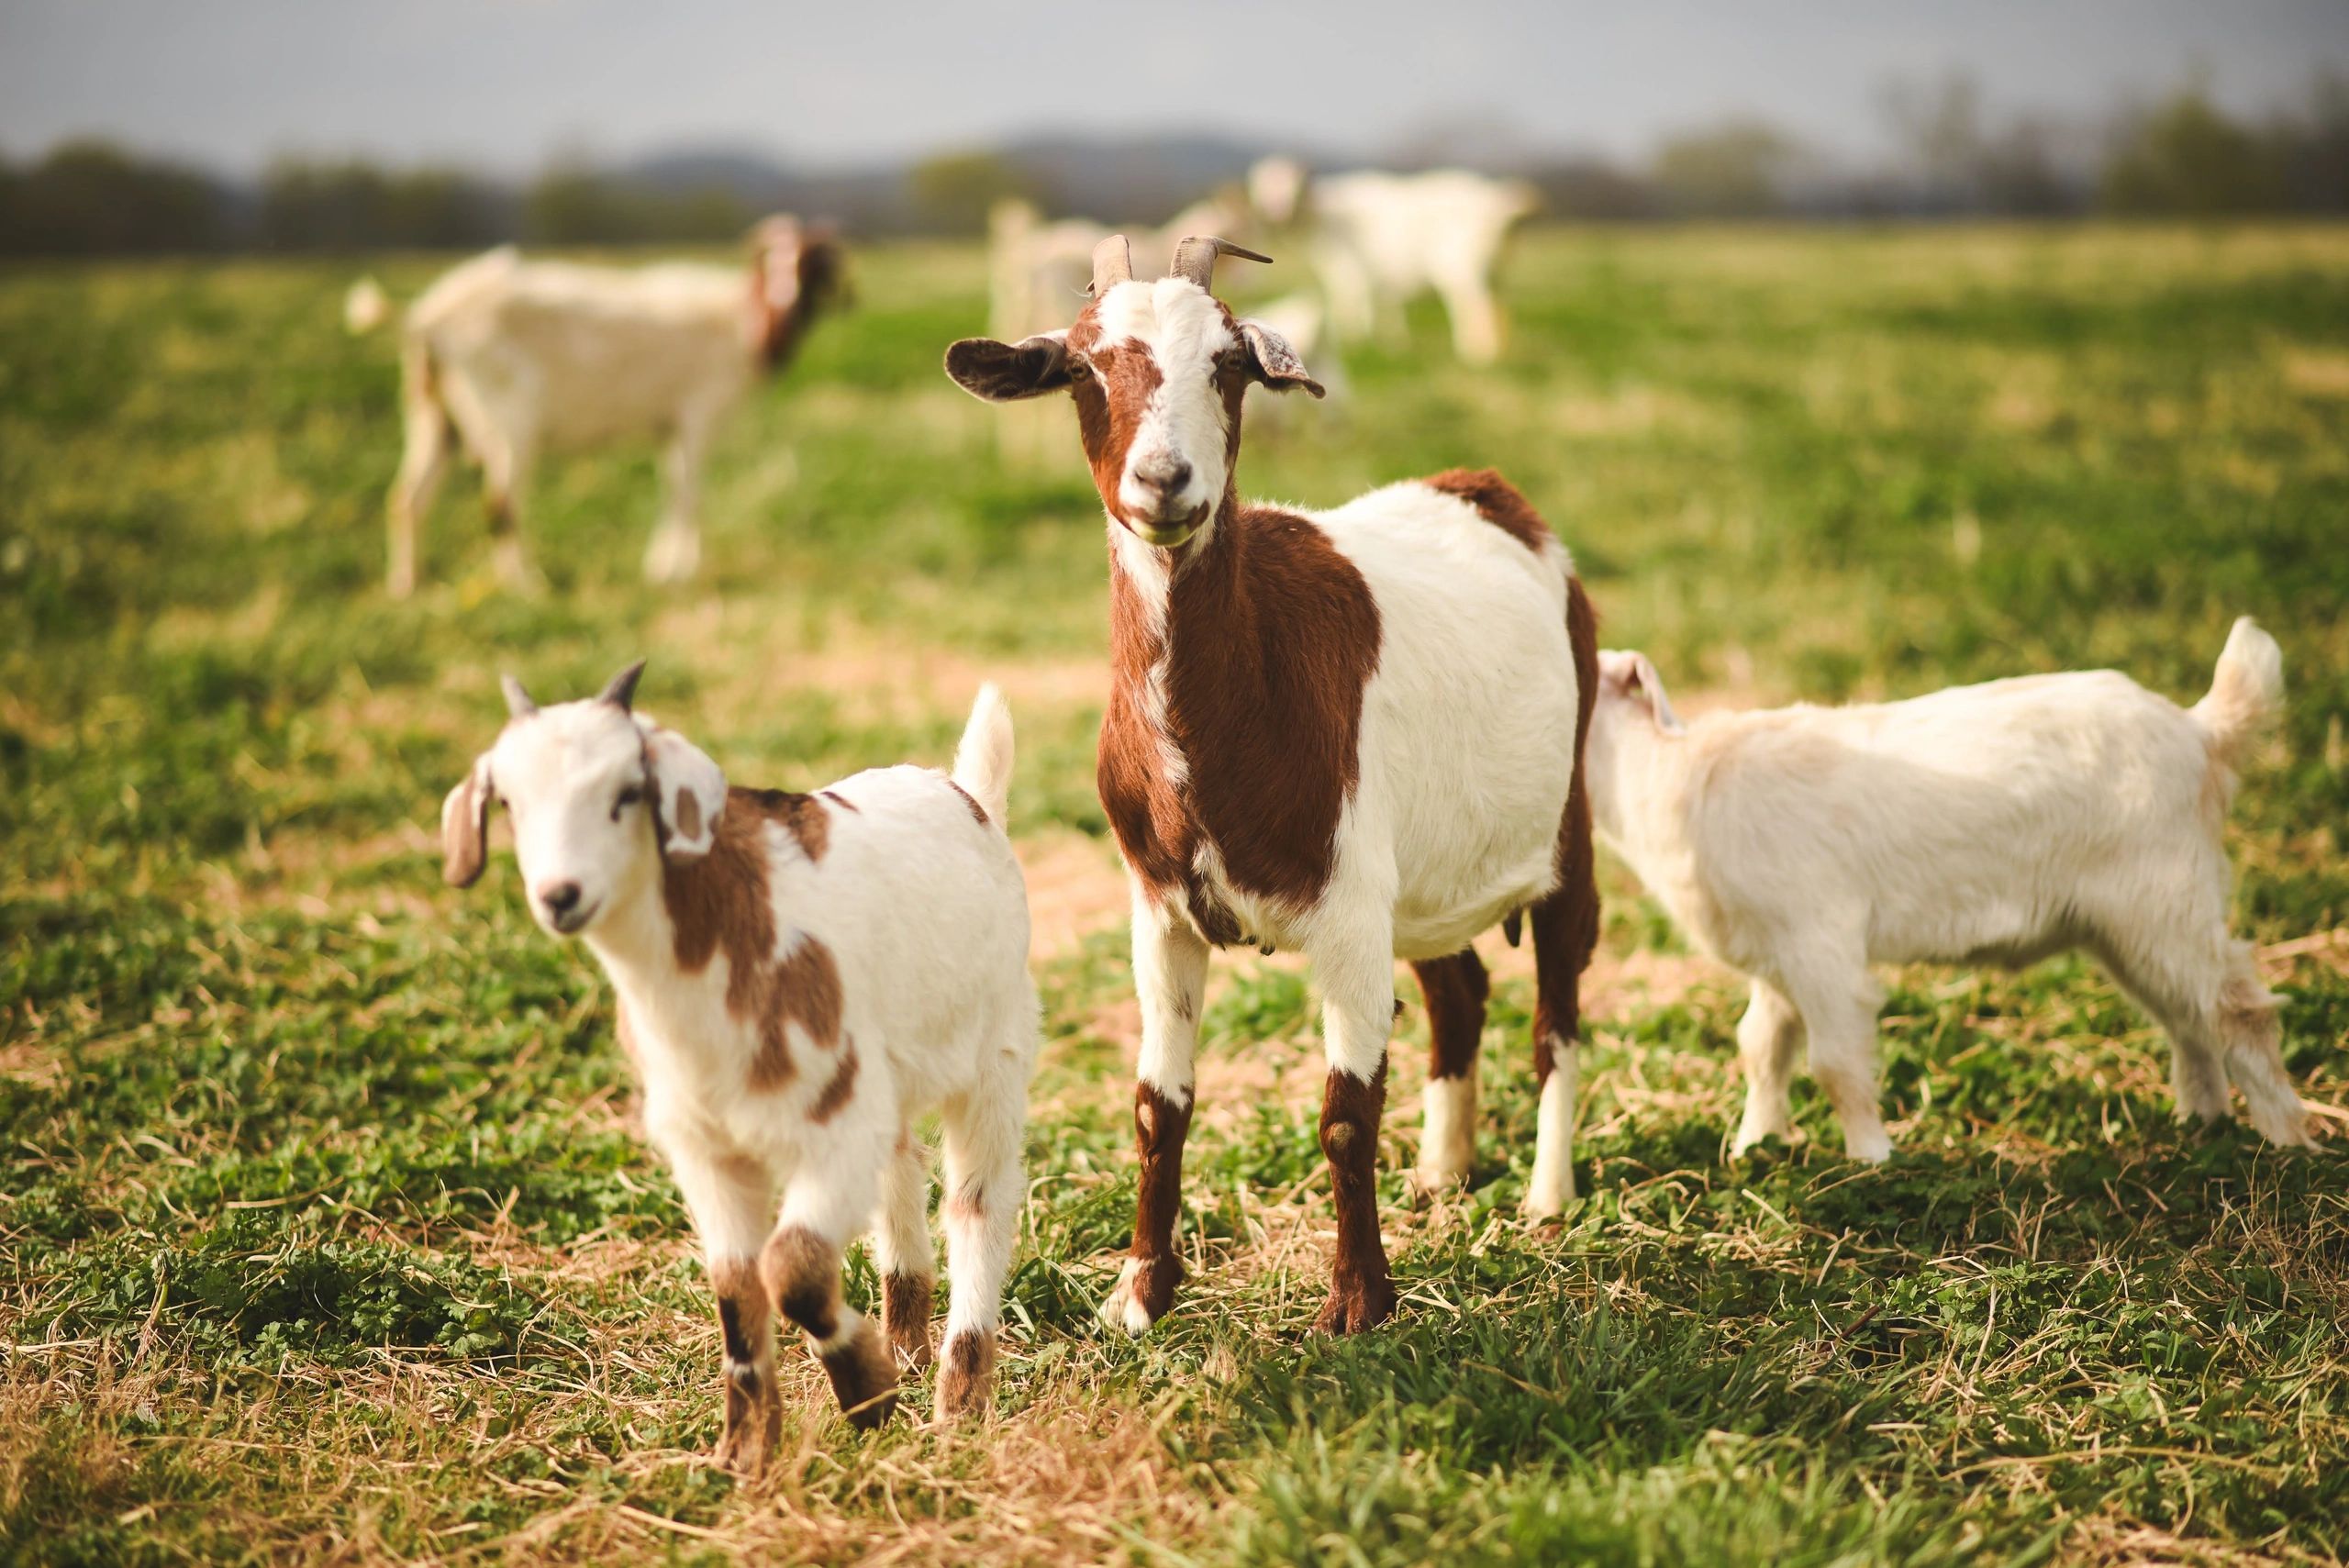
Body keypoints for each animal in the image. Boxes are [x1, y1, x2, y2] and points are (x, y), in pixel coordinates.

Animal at [380, 217, 844, 596]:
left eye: (812, 267)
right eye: (774, 265)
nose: (787, 306)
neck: (739, 323)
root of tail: (427, 320)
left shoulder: (669, 426)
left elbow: (672, 489)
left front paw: (659, 568)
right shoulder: (698, 416)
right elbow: (690, 494)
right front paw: (683, 571)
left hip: (432, 417)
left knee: (408, 499)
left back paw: (407, 583)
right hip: (508, 421)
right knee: (500, 506)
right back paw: (523, 585)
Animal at [441, 664, 1037, 1459]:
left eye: (627, 792)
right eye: (508, 801)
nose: (560, 895)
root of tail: (967, 795)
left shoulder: (835, 1128)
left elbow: (794, 1266)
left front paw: (864, 1390)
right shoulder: (705, 1147)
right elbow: (735, 1281)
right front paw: (745, 1451)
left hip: (996, 1051)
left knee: (979, 1200)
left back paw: (958, 1402)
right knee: (901, 1168)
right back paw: (906, 1345)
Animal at [946, 235, 1602, 1336]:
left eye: (1229, 365)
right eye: (1082, 368)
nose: (1163, 479)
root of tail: (1487, 490)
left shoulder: (1348, 910)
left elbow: (1345, 1113)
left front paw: (1357, 1303)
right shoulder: (1160, 909)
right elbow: (1157, 1105)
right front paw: (1140, 1291)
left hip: (1565, 827)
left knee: (1556, 1013)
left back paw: (1547, 1198)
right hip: (1424, 878)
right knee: (1460, 991)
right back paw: (1443, 1170)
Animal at [1583, 621, 2313, 1160]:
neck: (1678, 779)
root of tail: (2201, 731)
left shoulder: (1820, 941)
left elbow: (1836, 1062)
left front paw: (1870, 1160)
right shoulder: (1776, 956)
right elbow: (1762, 1045)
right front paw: (1755, 1145)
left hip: (2162, 898)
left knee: (2239, 1008)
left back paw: (2287, 1143)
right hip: (2130, 924)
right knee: (2189, 1018)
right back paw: (2203, 1125)